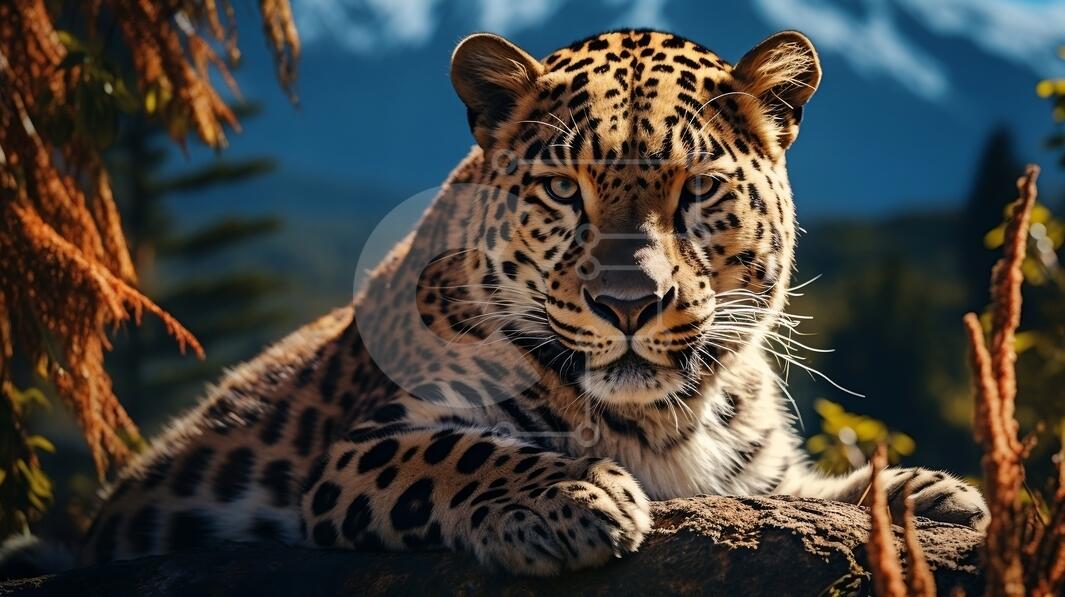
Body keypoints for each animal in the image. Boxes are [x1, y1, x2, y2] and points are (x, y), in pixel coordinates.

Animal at [72, 29, 987, 577]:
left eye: (697, 189)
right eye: (561, 188)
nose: (629, 302)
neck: (667, 423)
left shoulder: (754, 474)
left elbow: (792, 489)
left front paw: (925, 495)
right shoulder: (365, 446)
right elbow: (460, 451)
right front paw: (573, 498)